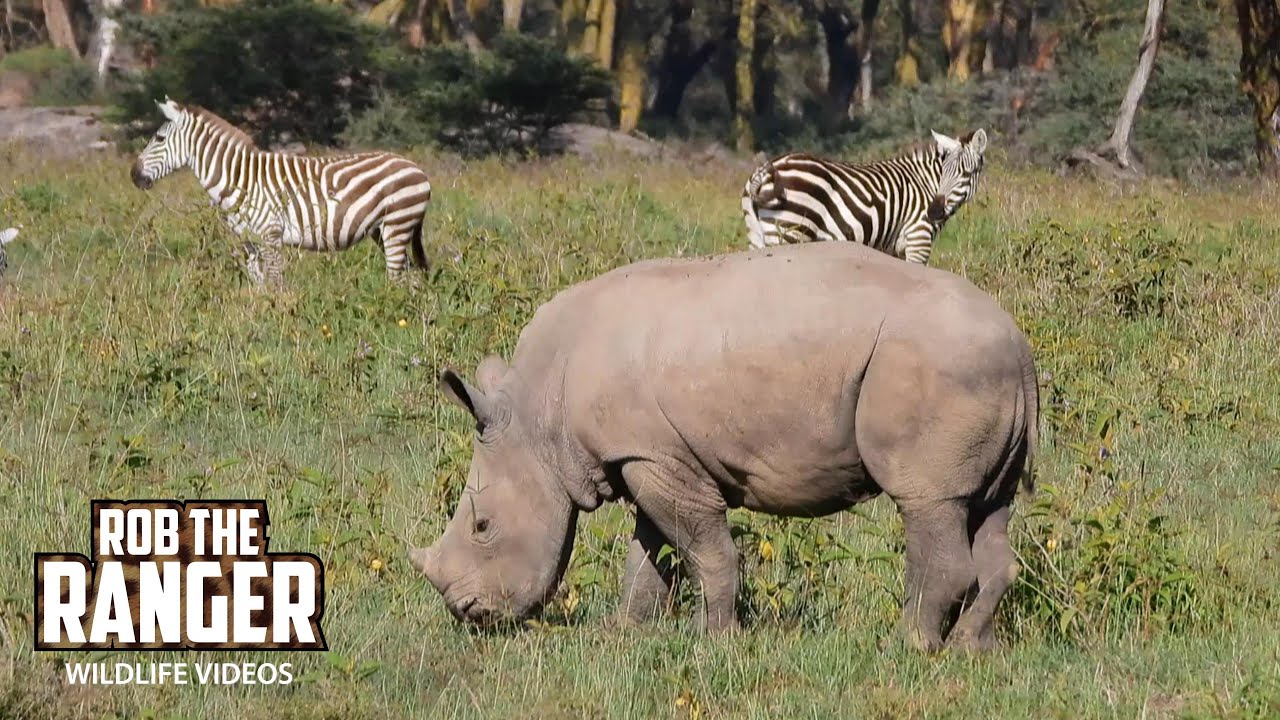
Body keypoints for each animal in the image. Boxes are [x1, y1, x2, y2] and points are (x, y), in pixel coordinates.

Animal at [130, 98, 433, 286]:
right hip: (383, 230)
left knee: (397, 278)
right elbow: (260, 284)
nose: (134, 175)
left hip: (397, 224)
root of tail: (418, 168)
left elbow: (276, 282)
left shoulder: (271, 234)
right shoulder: (248, 241)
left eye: (159, 138)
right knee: (410, 276)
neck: (238, 179)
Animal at [411, 240, 1038, 651]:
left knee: (928, 501)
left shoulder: (654, 458)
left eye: (483, 527)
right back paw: (971, 650)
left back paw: (907, 646)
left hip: (941, 364)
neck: (538, 417)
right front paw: (624, 632)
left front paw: (716, 640)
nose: (467, 614)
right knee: (989, 508)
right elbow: (650, 553)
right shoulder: (649, 454)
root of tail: (1020, 348)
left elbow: (702, 548)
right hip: (978, 367)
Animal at [741, 129, 988, 265]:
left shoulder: (894, 248)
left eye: (966, 173)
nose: (933, 211)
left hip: (758, 236)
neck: (927, 184)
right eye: (943, 171)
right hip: (789, 234)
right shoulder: (919, 238)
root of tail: (767, 168)